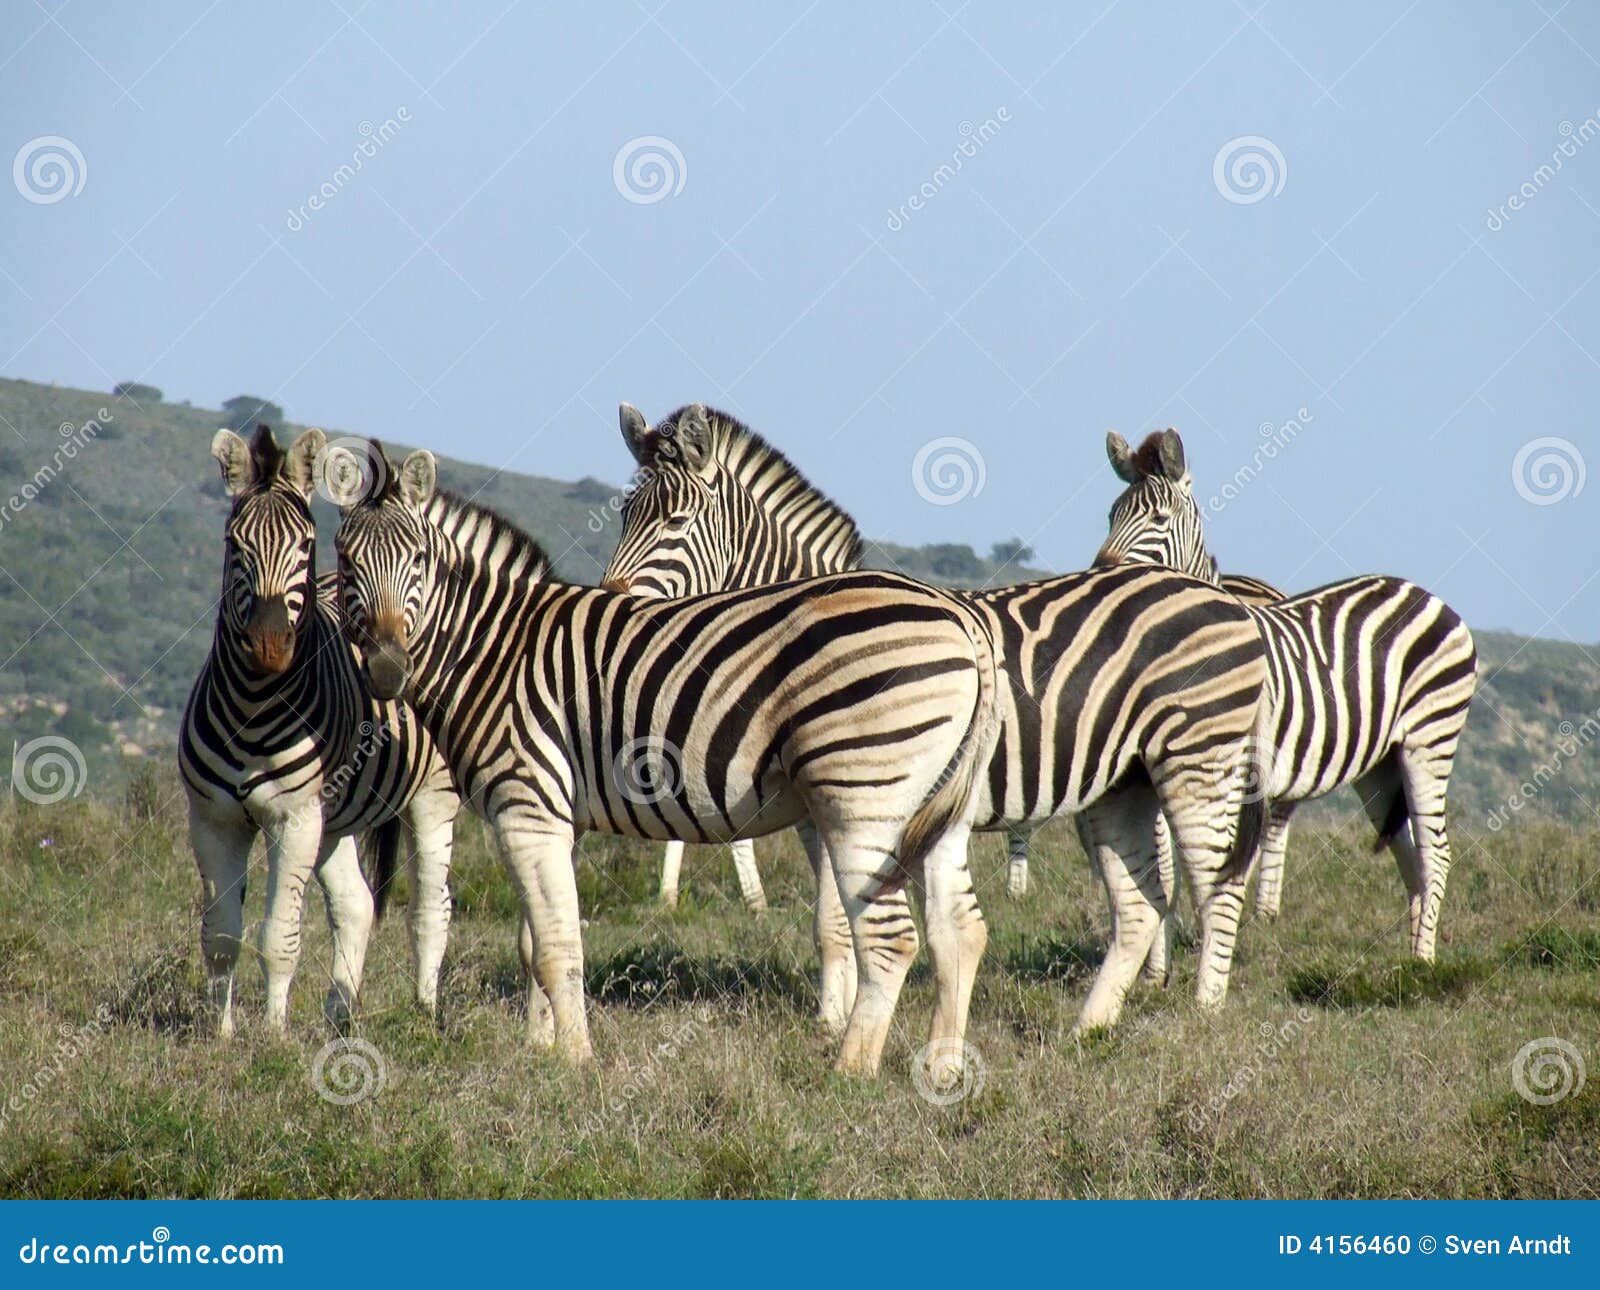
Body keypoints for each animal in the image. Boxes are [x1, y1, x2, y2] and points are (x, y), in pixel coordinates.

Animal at [180, 425, 461, 1036]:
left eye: (306, 544)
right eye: (234, 545)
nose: (269, 646)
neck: (251, 705)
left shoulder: (293, 818)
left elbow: (277, 937)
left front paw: (272, 1034)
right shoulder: (213, 820)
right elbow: (220, 936)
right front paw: (220, 1034)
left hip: (430, 798)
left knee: (431, 908)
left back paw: (425, 1011)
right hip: (334, 820)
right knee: (357, 906)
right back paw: (340, 1015)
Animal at [332, 441, 1004, 1080]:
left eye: (419, 560)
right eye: (345, 561)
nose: (387, 669)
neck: (493, 648)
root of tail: (961, 616)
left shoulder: (526, 805)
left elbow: (556, 944)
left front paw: (576, 1062)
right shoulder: (557, 816)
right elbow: (533, 941)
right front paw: (540, 1049)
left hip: (862, 796)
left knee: (891, 939)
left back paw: (850, 1071)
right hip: (935, 811)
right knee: (959, 930)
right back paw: (943, 1070)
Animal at [599, 404, 1276, 1035]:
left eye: (677, 522)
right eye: (624, 516)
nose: (613, 603)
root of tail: (1229, 601)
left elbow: (842, 915)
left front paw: (842, 1022)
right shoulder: (823, 809)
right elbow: (831, 920)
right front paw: (838, 1017)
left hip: (1199, 759)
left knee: (1219, 884)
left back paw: (1204, 1010)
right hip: (1134, 778)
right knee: (1154, 894)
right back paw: (1103, 1018)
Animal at [1096, 428, 1478, 960]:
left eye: (1159, 518)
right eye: (1110, 515)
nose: (1100, 571)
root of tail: (1423, 592)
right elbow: (1164, 872)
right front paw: (1157, 966)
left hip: (1431, 737)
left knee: (1436, 851)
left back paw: (1424, 962)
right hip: (1381, 764)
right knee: (1409, 850)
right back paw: (1409, 955)